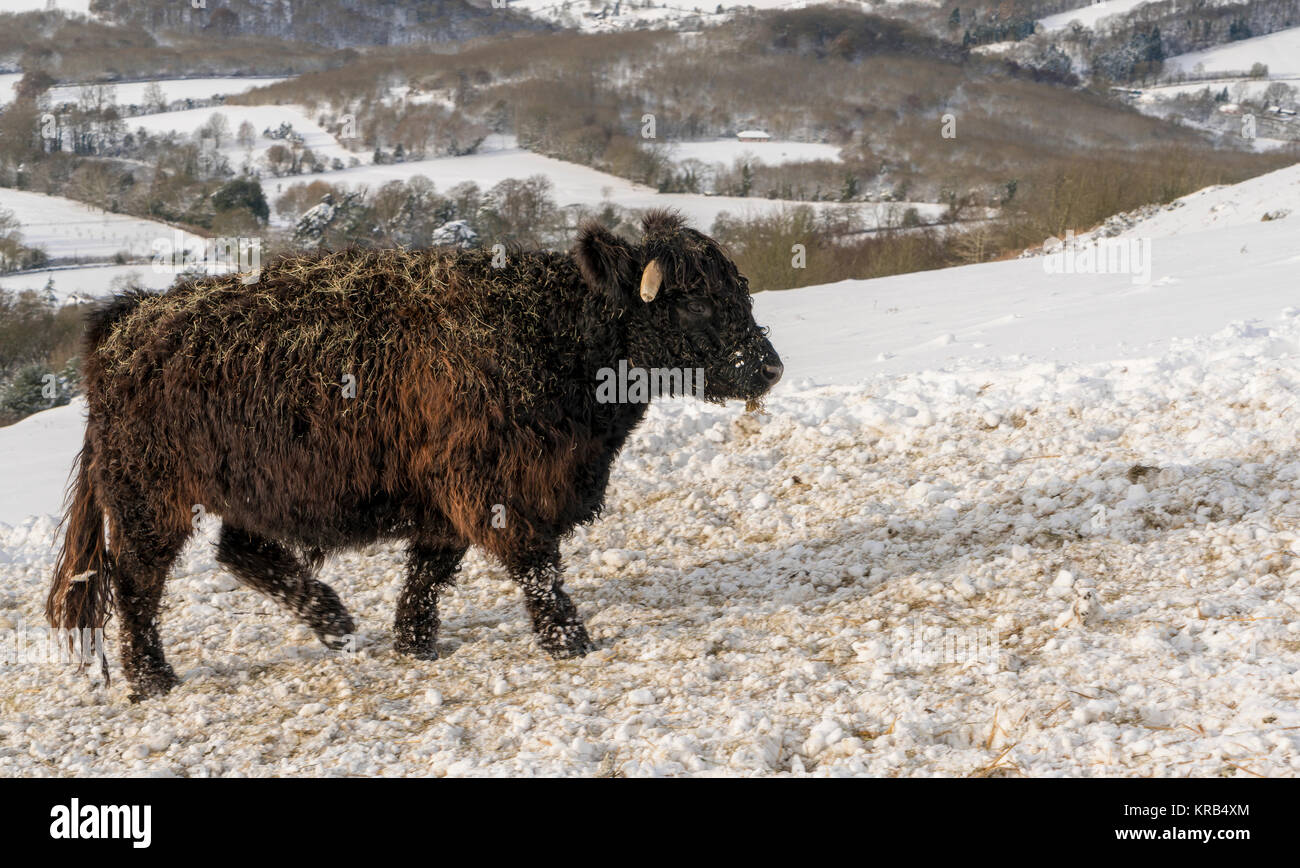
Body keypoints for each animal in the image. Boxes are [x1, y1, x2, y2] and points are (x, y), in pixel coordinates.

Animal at [46, 210, 784, 700]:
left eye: (740, 289)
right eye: (695, 304)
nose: (769, 367)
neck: (556, 335)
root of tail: (126, 320)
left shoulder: (447, 491)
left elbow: (430, 570)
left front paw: (413, 643)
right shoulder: (494, 487)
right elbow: (536, 567)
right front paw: (569, 640)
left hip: (250, 485)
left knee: (242, 551)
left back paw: (336, 624)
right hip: (149, 498)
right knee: (137, 584)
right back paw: (154, 679)